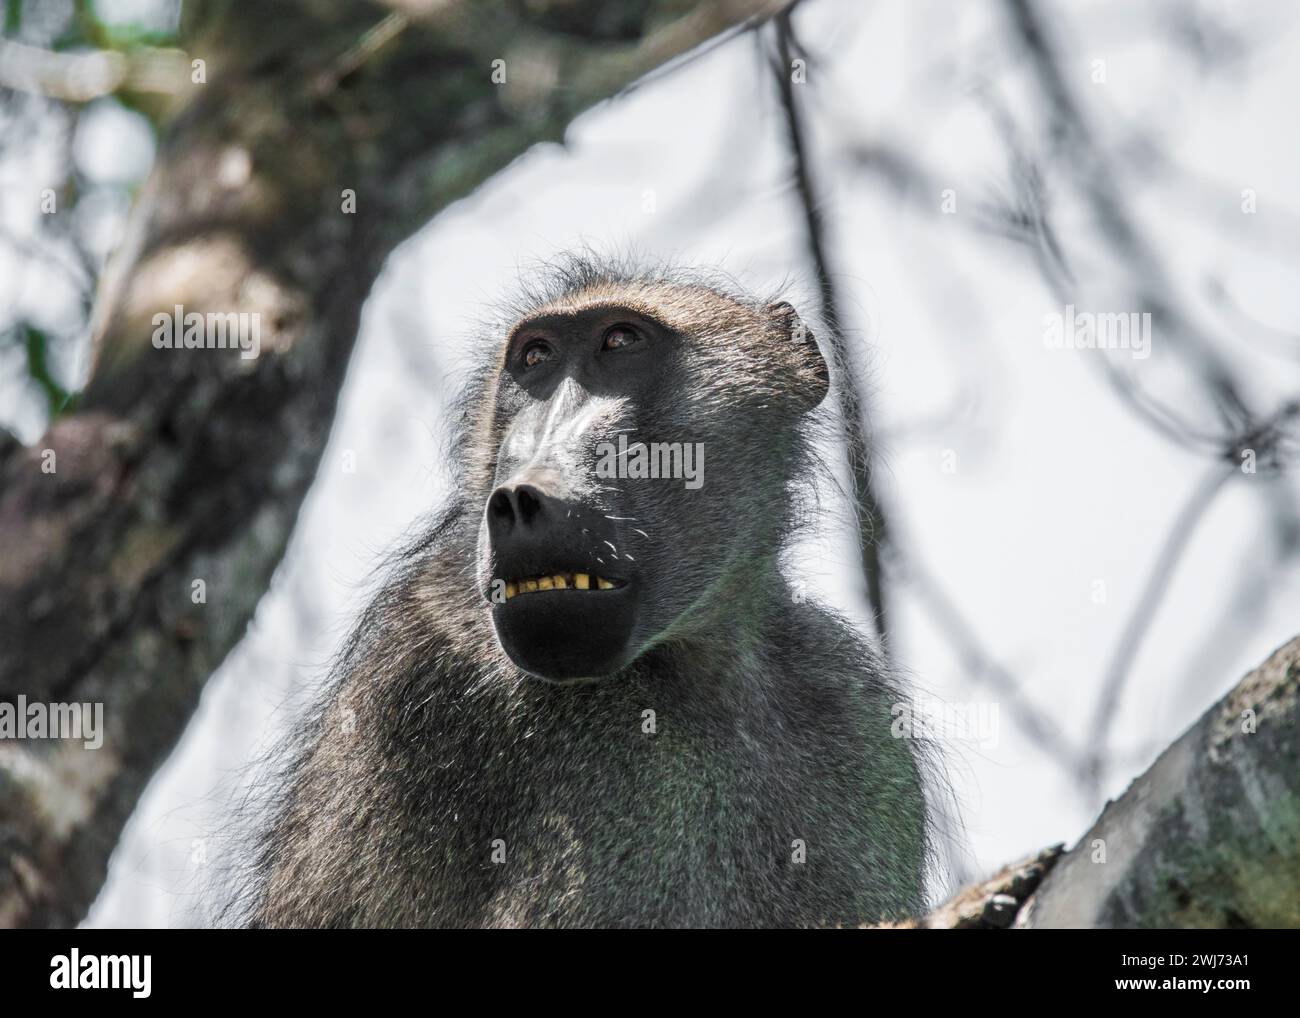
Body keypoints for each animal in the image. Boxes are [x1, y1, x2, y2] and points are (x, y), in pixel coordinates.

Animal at [236, 256, 936, 928]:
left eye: (619, 341)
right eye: (535, 360)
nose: (519, 497)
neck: (694, 674)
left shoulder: (857, 713)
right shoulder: (420, 666)